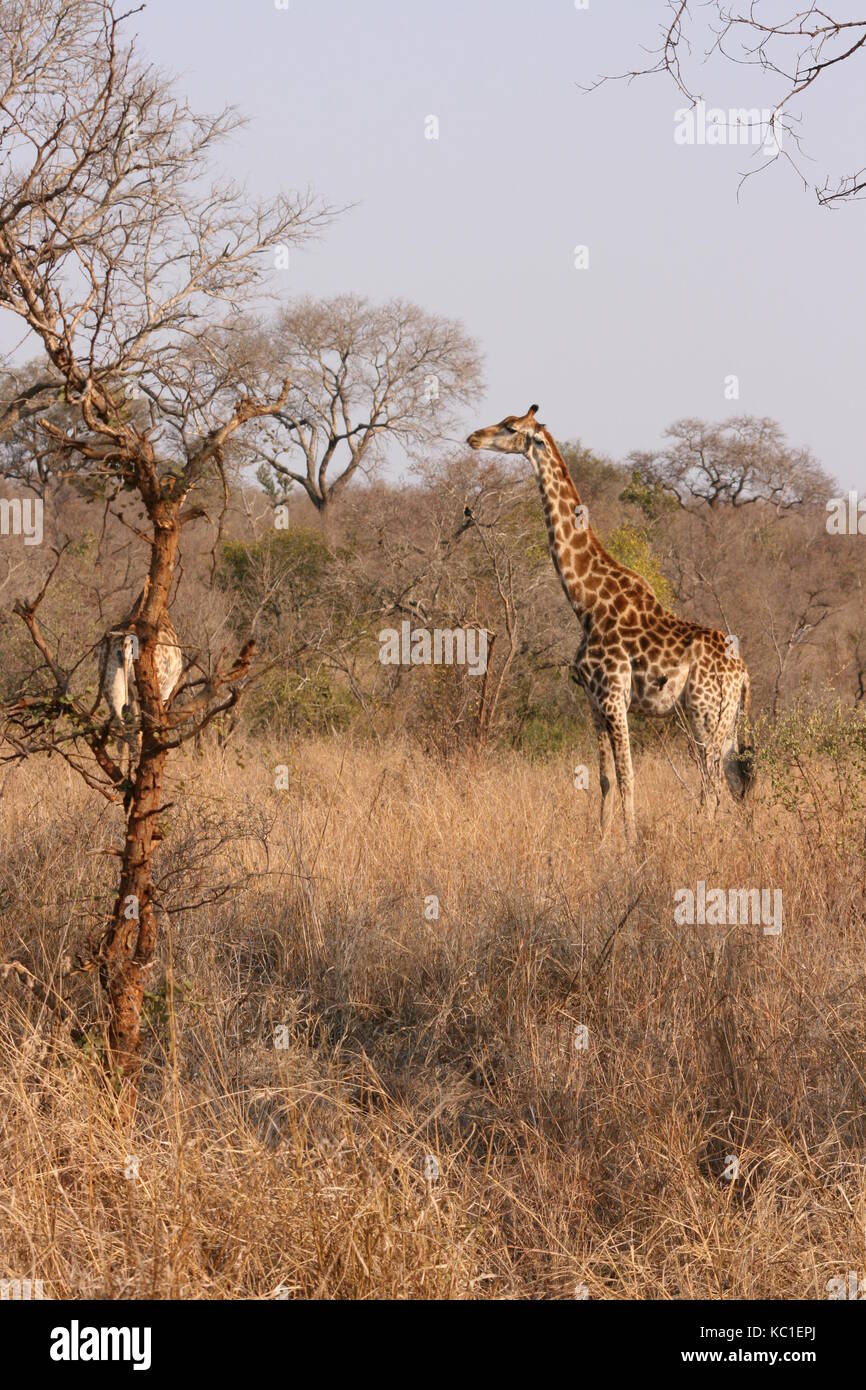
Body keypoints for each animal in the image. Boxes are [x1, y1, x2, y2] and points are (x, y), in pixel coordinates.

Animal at [467, 406, 754, 840]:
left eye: (510, 427)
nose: (473, 437)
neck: (586, 603)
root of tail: (743, 671)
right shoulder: (592, 700)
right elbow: (603, 778)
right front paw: (601, 842)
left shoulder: (614, 697)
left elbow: (627, 776)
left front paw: (630, 842)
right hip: (725, 718)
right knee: (731, 780)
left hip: (706, 715)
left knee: (714, 781)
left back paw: (705, 838)